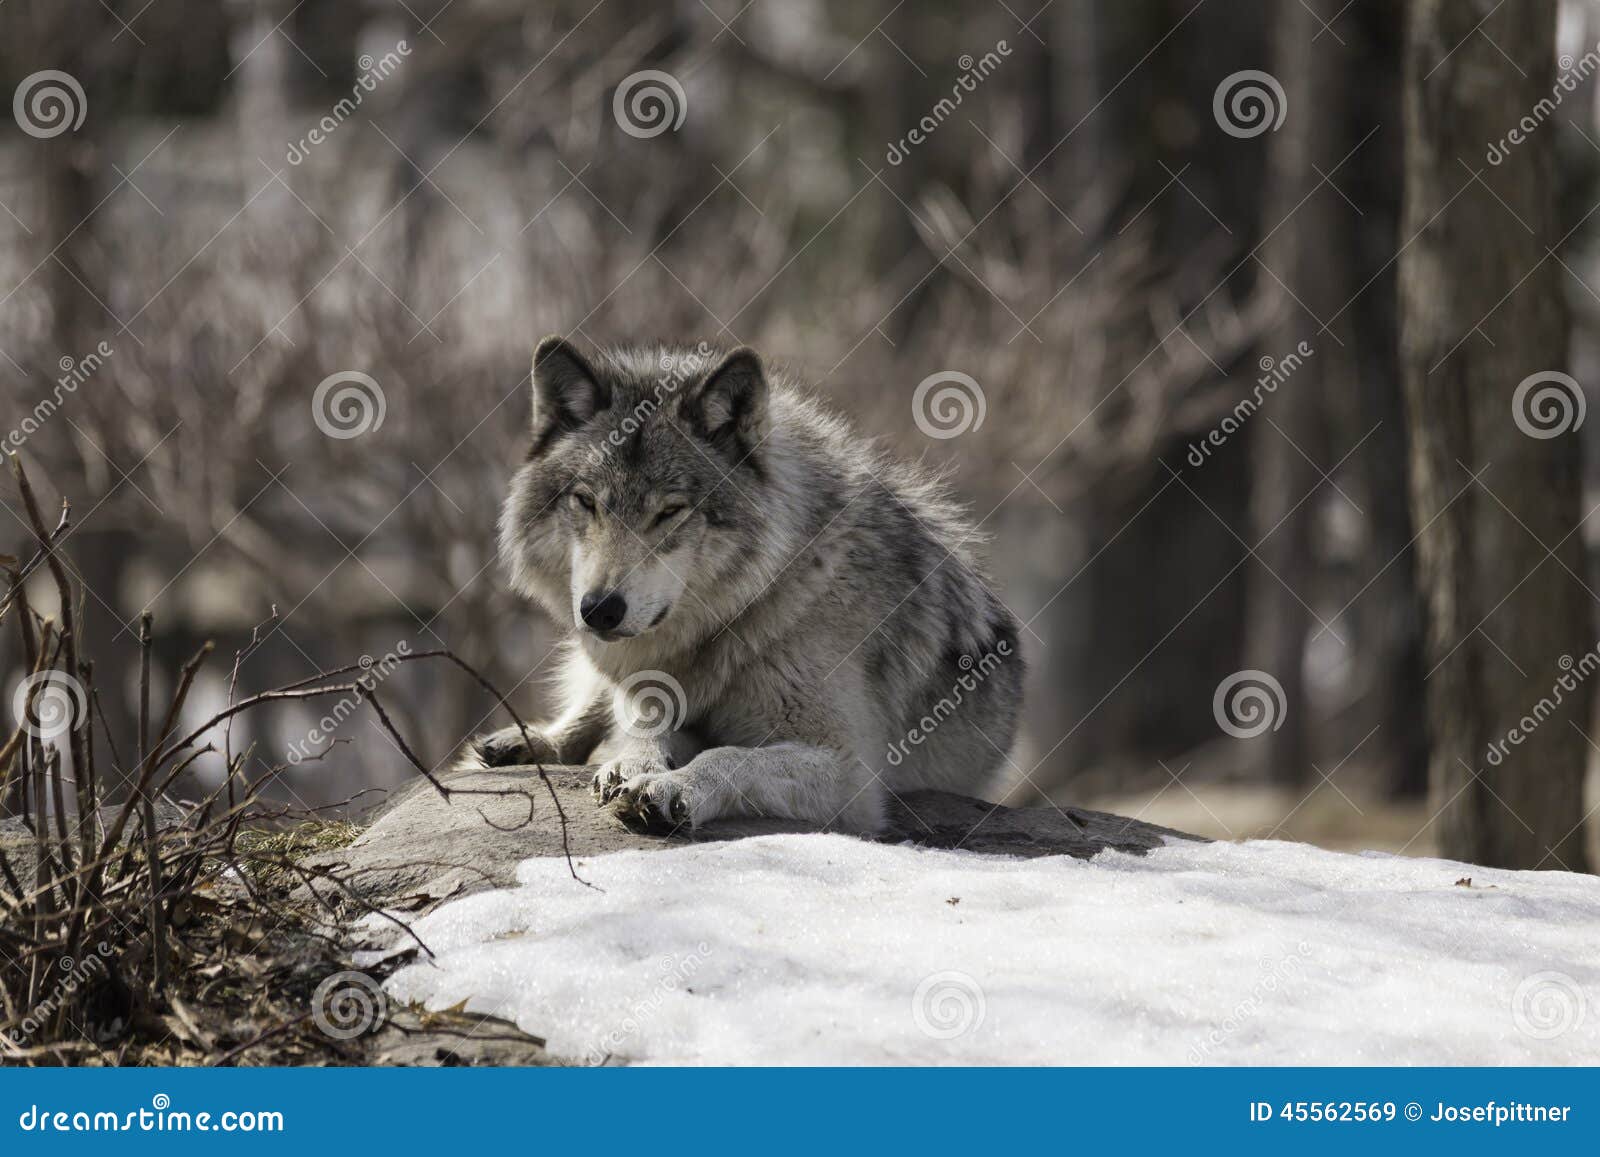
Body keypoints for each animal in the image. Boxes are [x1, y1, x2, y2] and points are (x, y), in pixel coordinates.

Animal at [462, 336, 1024, 834]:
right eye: (587, 502)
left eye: (670, 512)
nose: (599, 609)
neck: (749, 612)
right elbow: (642, 725)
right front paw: (635, 763)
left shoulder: (849, 774)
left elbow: (728, 755)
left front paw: (669, 788)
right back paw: (528, 742)